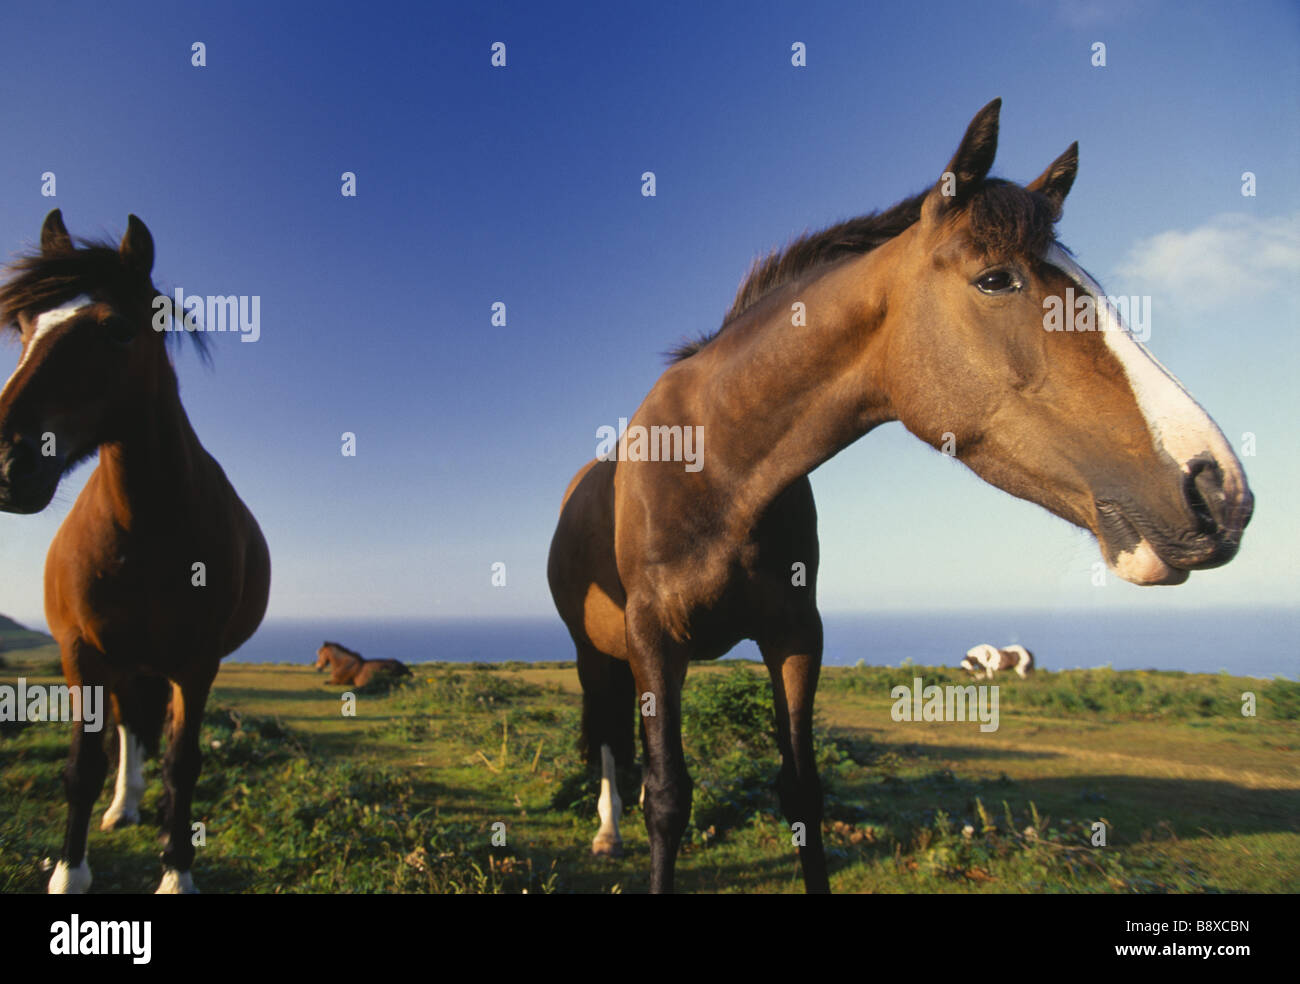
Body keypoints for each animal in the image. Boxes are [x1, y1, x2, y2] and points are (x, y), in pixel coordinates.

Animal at [0, 210, 271, 894]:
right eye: (24, 327)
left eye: (118, 330)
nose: (7, 463)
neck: (144, 529)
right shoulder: (81, 653)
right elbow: (82, 765)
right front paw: (69, 872)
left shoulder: (197, 663)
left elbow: (183, 762)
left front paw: (177, 872)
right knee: (127, 727)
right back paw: (123, 807)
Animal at [546, 99, 1253, 894]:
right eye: (996, 279)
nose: (1218, 490)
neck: (717, 462)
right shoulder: (654, 639)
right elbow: (668, 798)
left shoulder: (796, 636)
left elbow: (802, 792)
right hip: (598, 652)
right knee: (610, 740)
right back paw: (607, 830)